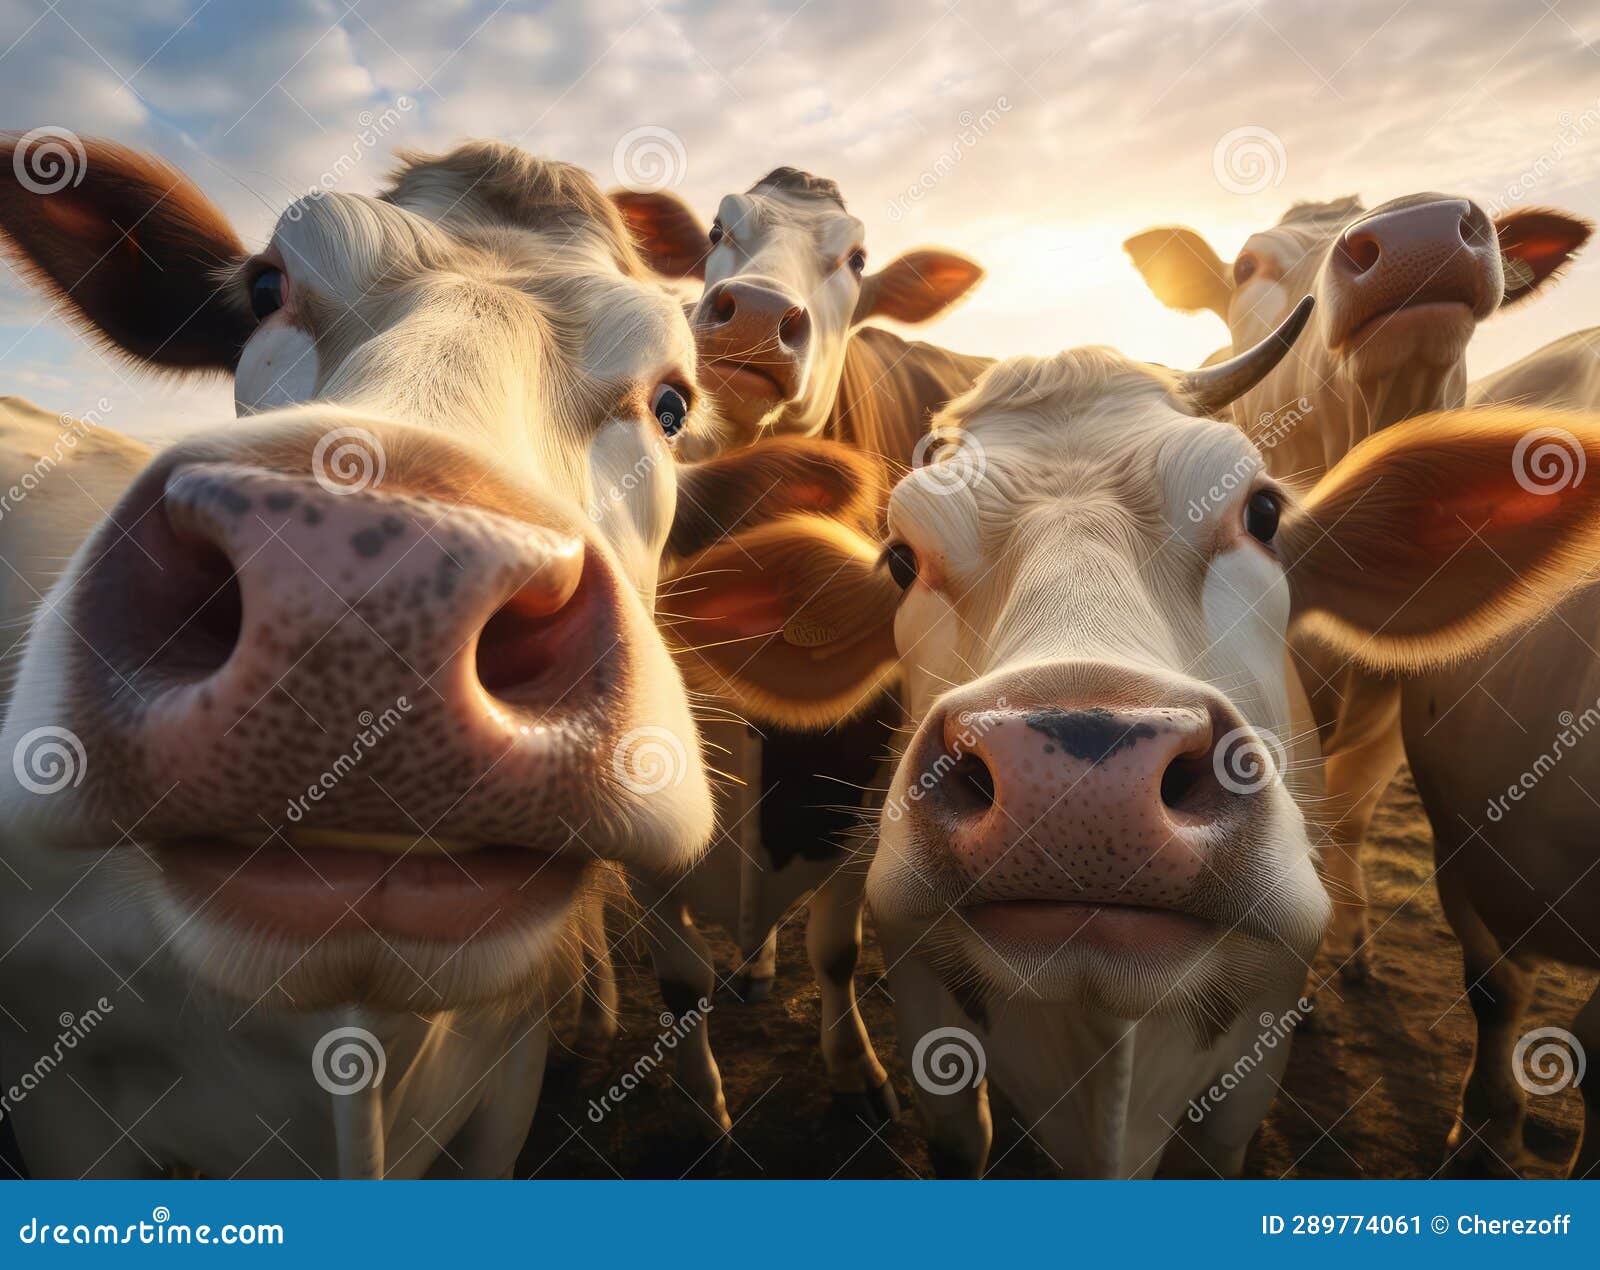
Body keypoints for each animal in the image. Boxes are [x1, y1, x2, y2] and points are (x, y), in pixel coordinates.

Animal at [609, 170, 988, 1132]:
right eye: (717, 230)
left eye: (856, 255)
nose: (750, 315)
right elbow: (678, 978)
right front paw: (699, 1108)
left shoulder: (875, 779)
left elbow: (835, 947)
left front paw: (856, 1070)